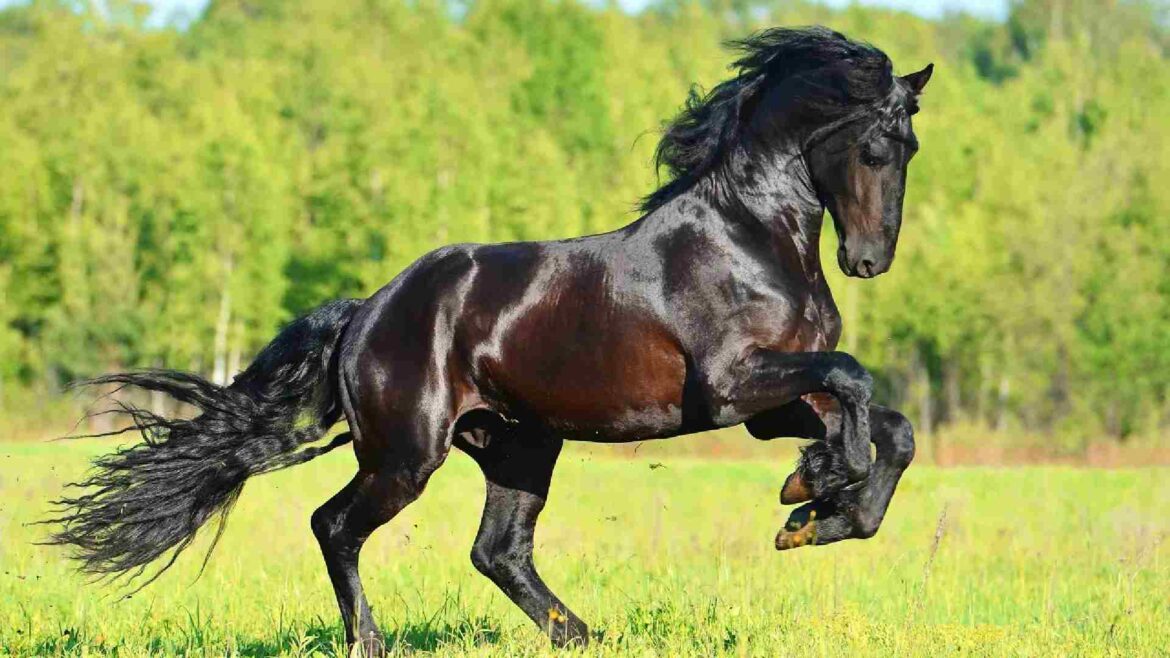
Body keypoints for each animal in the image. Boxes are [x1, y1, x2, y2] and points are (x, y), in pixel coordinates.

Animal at [48, 26, 932, 654]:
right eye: (874, 147)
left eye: (910, 149)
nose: (868, 260)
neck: (750, 236)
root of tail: (366, 312)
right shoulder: (731, 389)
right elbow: (855, 381)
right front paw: (816, 486)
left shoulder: (772, 401)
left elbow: (891, 427)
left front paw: (818, 508)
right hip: (407, 454)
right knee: (336, 525)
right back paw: (370, 643)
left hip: (517, 446)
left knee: (497, 550)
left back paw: (582, 635)